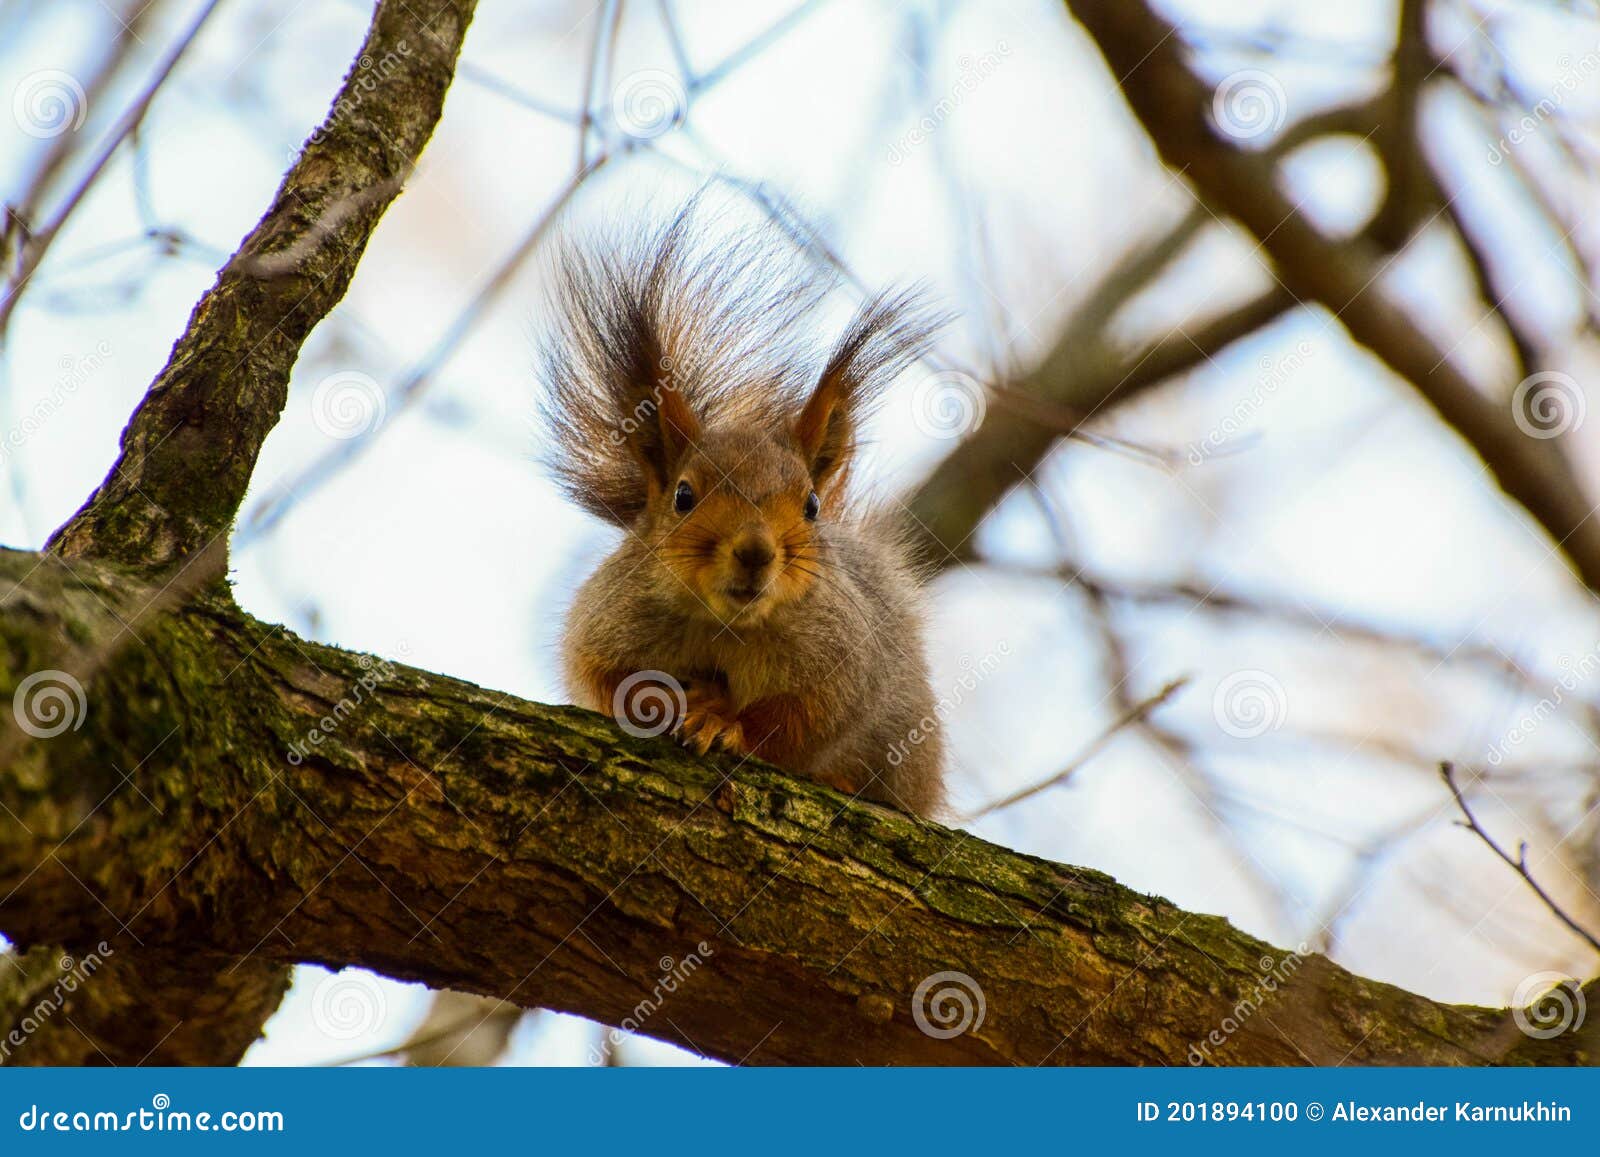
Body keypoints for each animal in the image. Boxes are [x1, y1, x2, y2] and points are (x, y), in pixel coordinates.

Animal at [540, 209, 946, 819]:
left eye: (811, 505)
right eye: (683, 496)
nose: (755, 552)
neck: (723, 626)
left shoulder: (844, 661)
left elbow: (800, 723)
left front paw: (722, 721)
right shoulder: (608, 622)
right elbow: (605, 681)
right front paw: (672, 701)